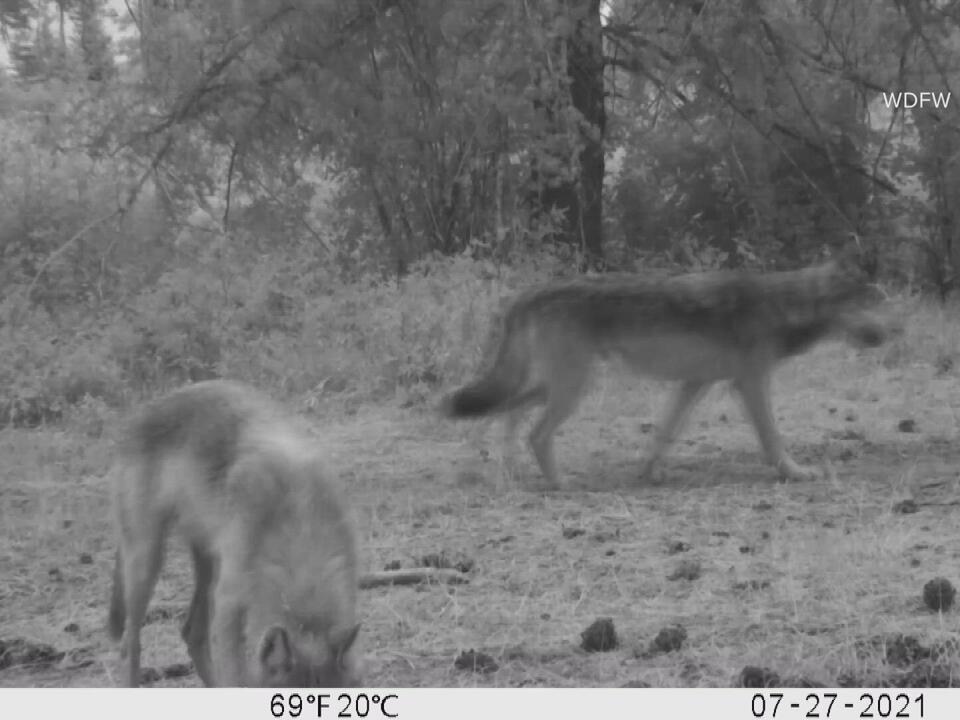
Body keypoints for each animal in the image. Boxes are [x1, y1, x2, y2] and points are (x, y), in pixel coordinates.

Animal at [107, 379, 361, 688]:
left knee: (191, 634)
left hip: (208, 565)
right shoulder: (229, 608)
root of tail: (144, 410)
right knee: (129, 644)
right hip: (148, 561)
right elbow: (234, 675)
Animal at [441, 258, 892, 487]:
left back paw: (508, 469)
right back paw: (560, 482)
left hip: (563, 384)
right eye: (867, 303)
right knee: (534, 430)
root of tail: (530, 291)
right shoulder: (749, 383)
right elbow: (772, 439)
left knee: (511, 410)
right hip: (574, 387)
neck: (783, 304)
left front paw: (649, 471)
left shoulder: (694, 384)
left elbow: (664, 433)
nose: (890, 333)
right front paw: (795, 472)